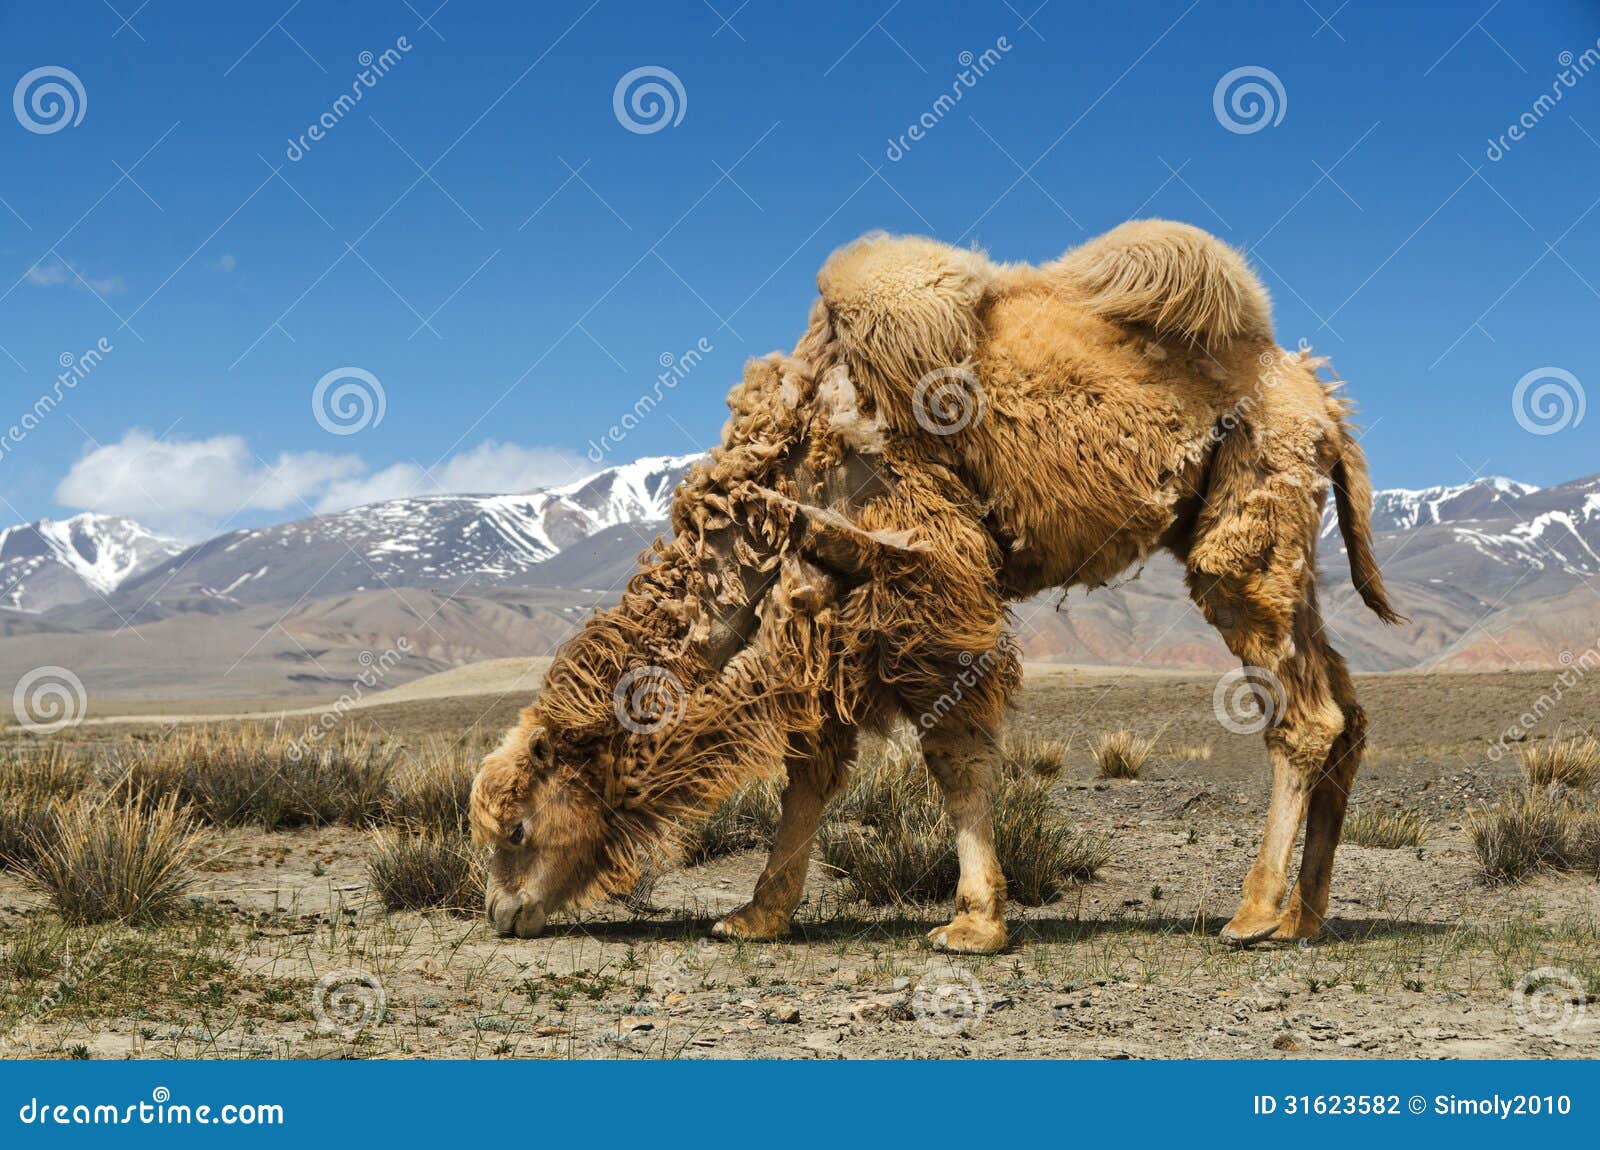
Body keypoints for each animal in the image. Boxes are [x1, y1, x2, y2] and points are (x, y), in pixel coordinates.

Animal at [470, 219, 1401, 953]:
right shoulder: (829, 617)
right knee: (1348, 711)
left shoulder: (933, 584)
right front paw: (757, 915)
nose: (501, 914)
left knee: (1305, 717)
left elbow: (953, 756)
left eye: (516, 827)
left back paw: (1254, 914)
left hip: (1245, 531)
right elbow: (811, 769)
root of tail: (1316, 391)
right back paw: (1305, 918)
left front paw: (973, 924)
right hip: (1282, 547)